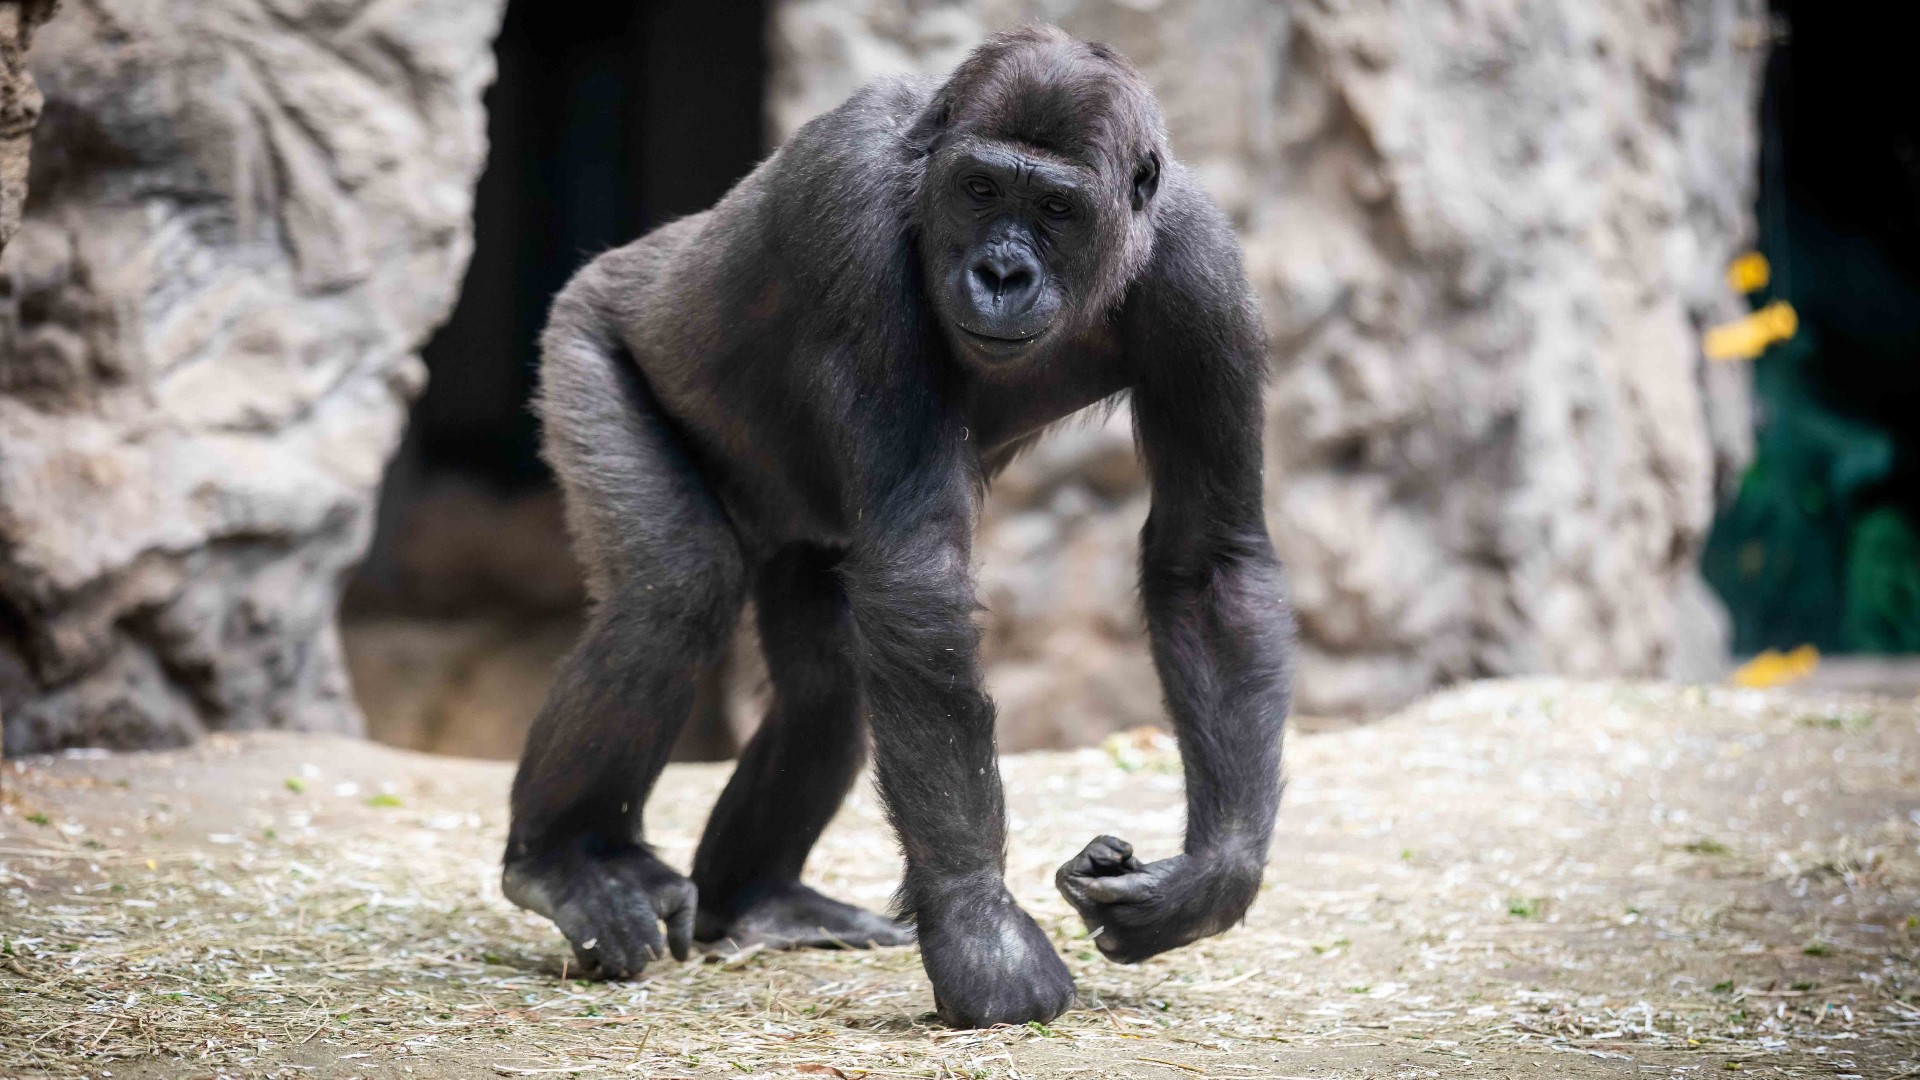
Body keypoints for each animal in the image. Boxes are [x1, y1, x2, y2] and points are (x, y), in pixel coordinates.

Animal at [501, 25, 1293, 1029]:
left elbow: (1207, 560)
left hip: (801, 532)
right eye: (981, 190)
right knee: (669, 596)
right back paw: (565, 861)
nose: (1002, 273)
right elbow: (917, 575)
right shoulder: (852, 211)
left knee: (826, 679)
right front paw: (981, 933)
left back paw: (758, 898)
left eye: (1057, 209)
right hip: (584, 343)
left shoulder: (1205, 278)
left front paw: (1206, 880)